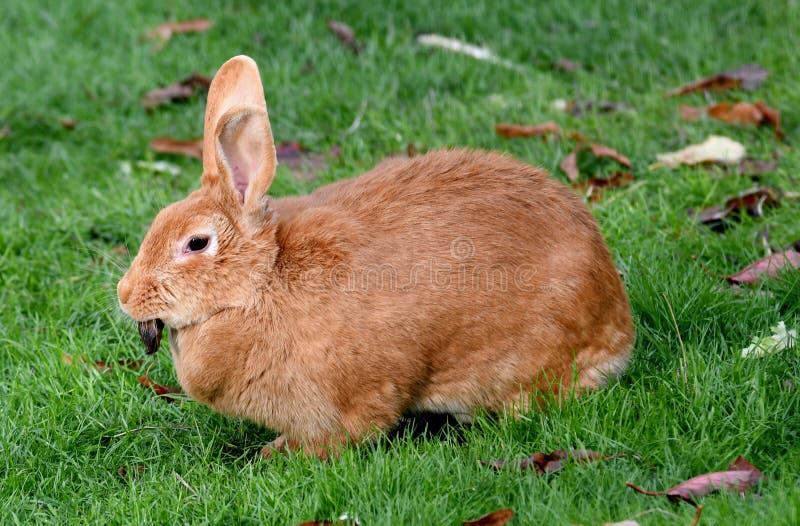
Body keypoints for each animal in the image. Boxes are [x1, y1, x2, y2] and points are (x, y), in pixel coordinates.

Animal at [117, 55, 634, 459]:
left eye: (196, 244)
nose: (125, 295)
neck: (260, 282)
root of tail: (618, 322)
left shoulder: (352, 397)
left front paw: (277, 452)